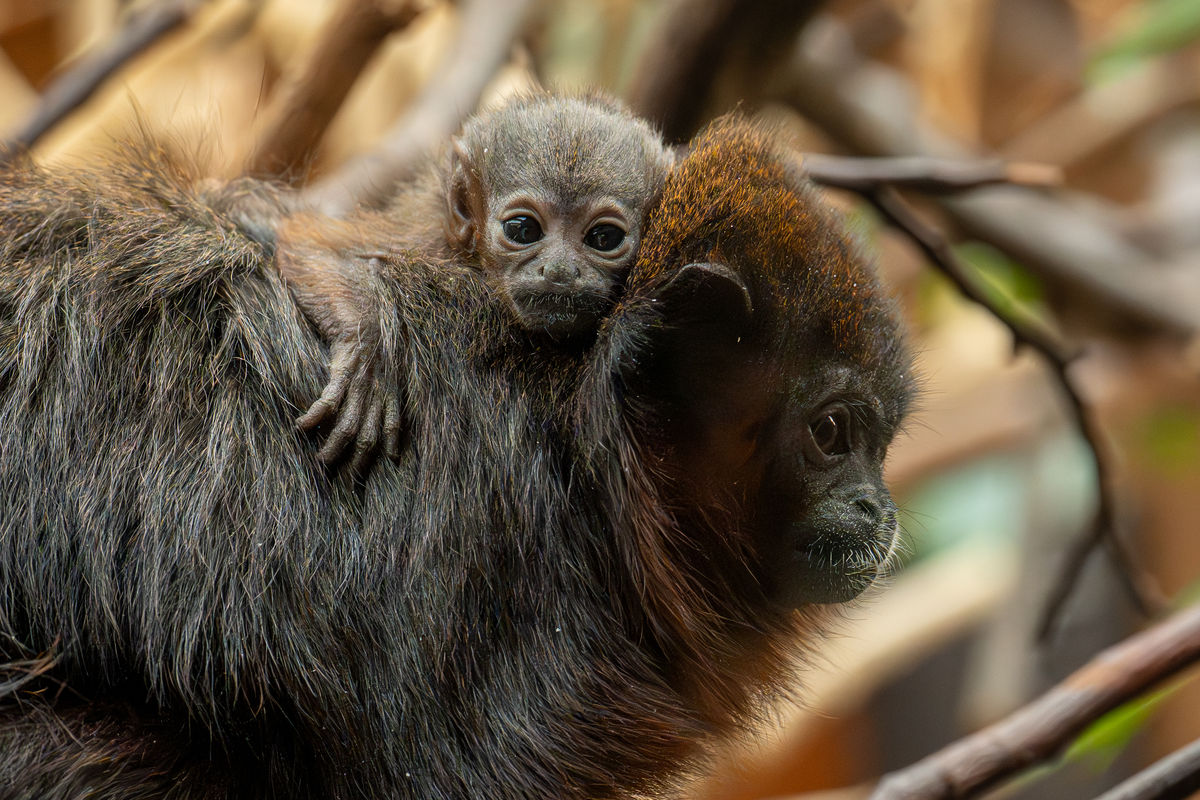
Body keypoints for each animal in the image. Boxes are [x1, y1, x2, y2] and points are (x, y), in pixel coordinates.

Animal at [276, 92, 672, 469]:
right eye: (523, 229)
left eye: (604, 237)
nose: (560, 271)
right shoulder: (423, 232)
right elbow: (308, 240)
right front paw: (367, 352)